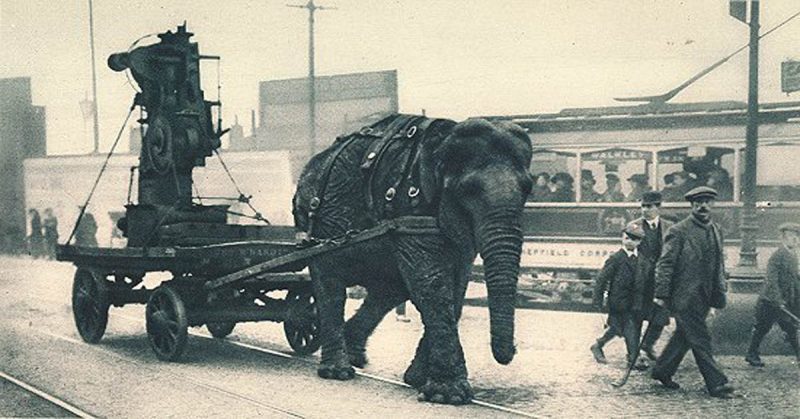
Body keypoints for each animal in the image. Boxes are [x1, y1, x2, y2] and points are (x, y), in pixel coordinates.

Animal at [292, 114, 533, 405]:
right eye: (469, 189)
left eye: (528, 188)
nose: (510, 353)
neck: (444, 138)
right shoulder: (410, 208)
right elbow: (432, 285)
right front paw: (448, 396)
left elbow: (455, 289)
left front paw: (417, 381)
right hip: (319, 227)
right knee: (331, 285)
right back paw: (338, 372)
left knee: (389, 290)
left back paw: (356, 356)